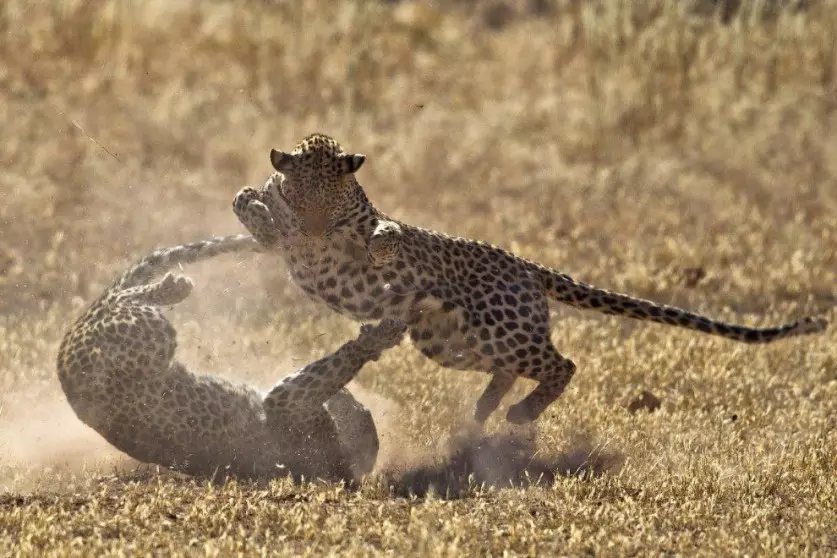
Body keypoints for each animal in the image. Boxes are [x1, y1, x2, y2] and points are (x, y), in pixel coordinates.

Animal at [54, 234, 406, 484]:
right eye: (360, 407)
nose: (354, 400)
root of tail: (62, 359)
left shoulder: (287, 402)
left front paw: (383, 333)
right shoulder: (287, 403)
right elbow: (344, 360)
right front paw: (386, 331)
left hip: (146, 335)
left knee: (122, 298)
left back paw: (171, 286)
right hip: (149, 333)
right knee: (123, 296)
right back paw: (173, 286)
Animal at [230, 133, 828, 426]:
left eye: (331, 196)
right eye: (302, 191)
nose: (314, 231)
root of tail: (527, 265)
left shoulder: (364, 220)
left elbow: (386, 228)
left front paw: (378, 246)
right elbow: (247, 200)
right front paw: (264, 216)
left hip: (498, 326)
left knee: (564, 363)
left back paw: (518, 413)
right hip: (446, 339)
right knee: (512, 368)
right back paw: (485, 411)